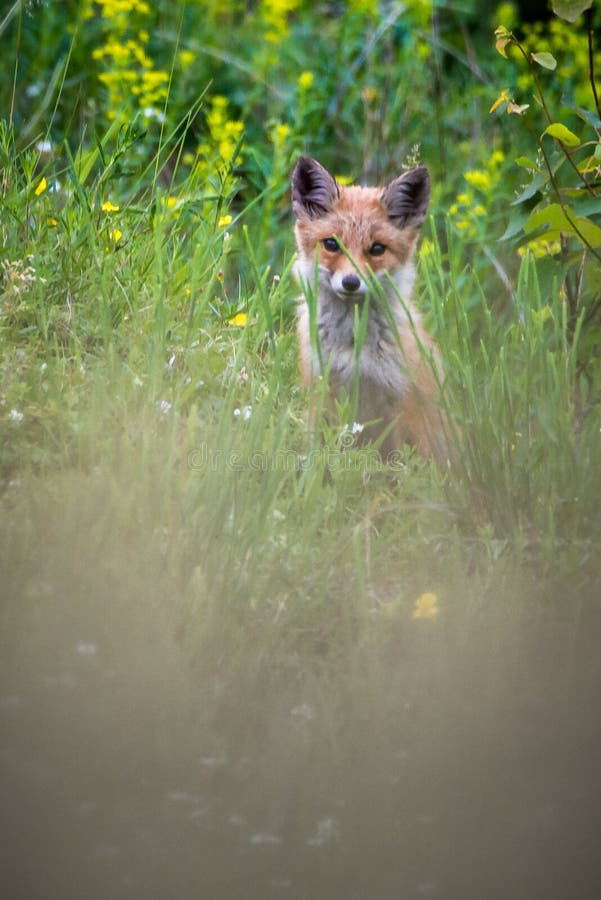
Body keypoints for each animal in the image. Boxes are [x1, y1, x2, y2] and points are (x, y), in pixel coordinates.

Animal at [291, 155, 450, 466]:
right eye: (332, 244)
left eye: (376, 249)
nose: (351, 283)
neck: (352, 346)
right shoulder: (321, 388)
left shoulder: (400, 401)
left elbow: (396, 465)